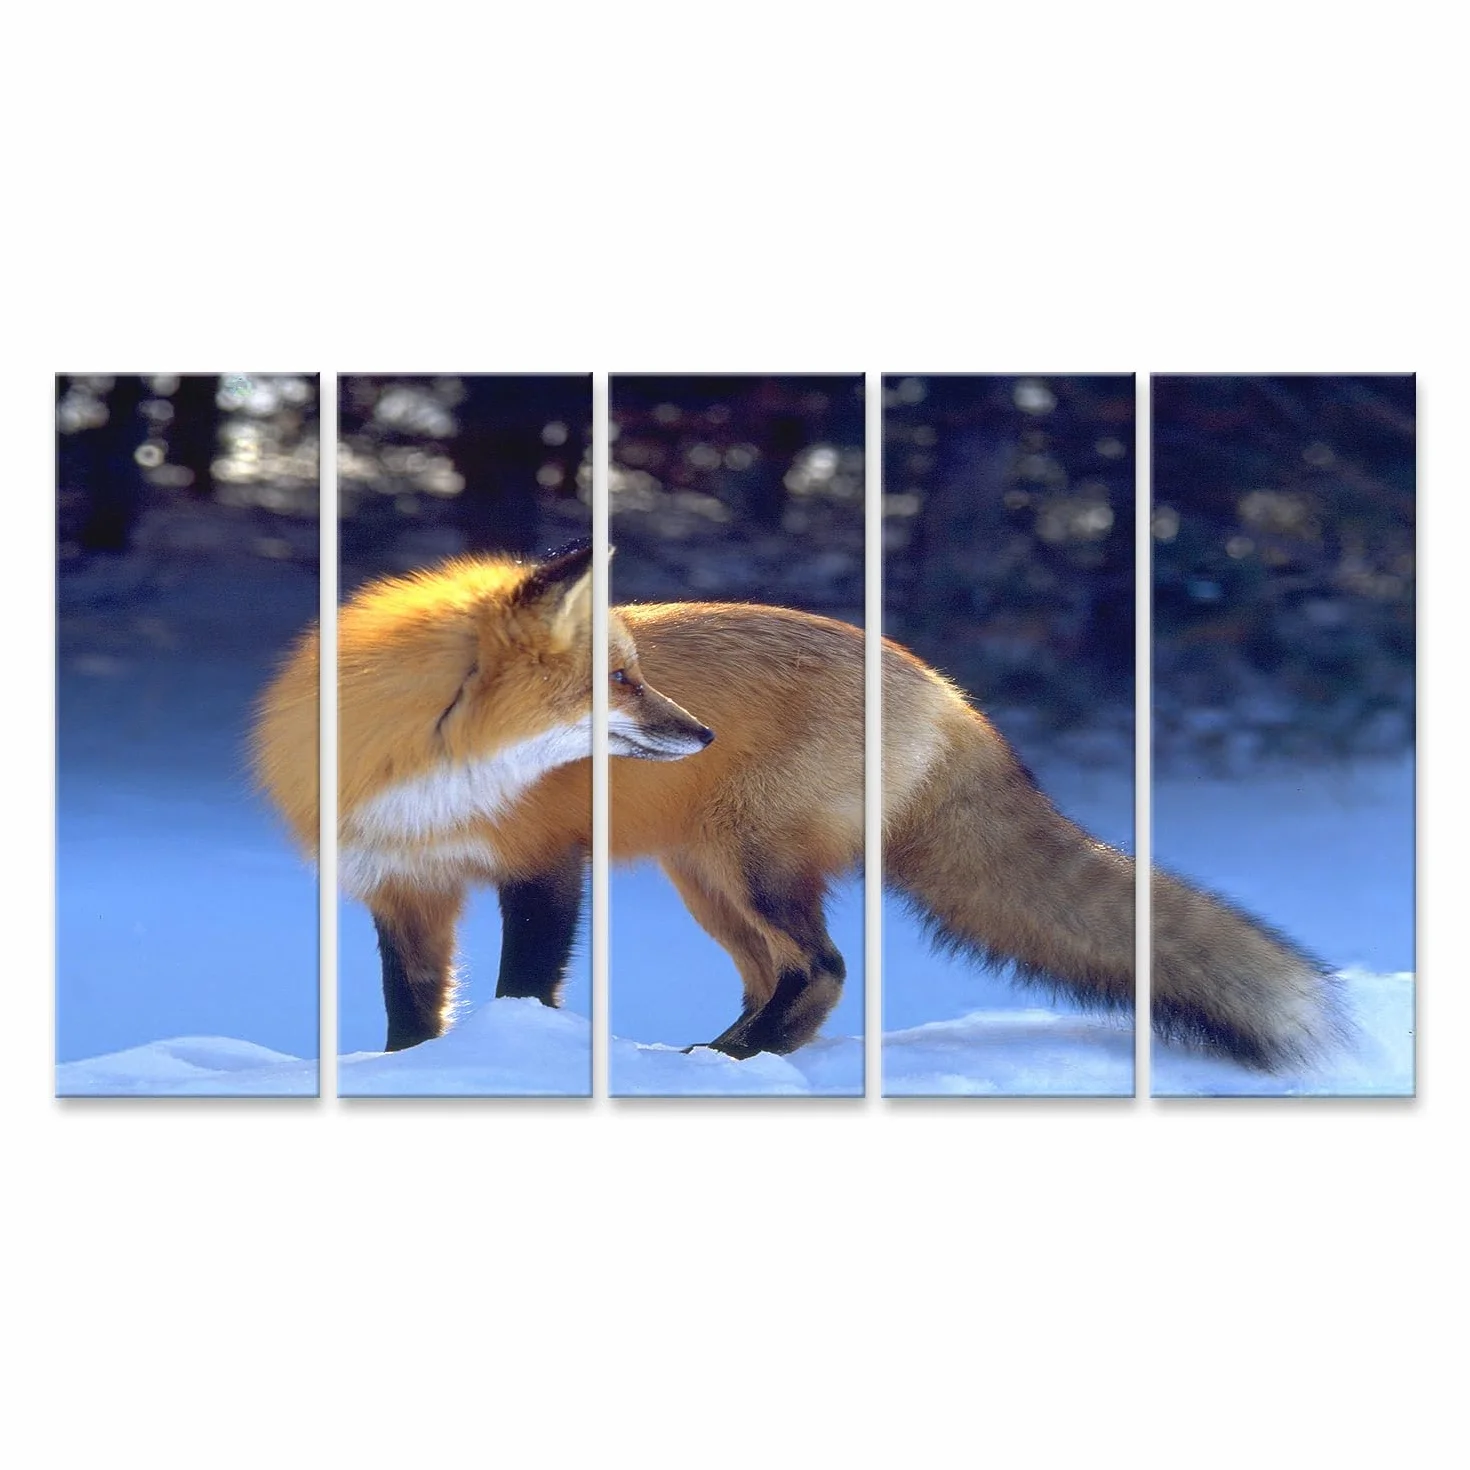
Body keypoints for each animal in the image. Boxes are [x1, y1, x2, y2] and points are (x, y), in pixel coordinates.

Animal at [253, 540, 1341, 1068]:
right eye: (618, 682)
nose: (701, 734)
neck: (433, 777)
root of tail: (948, 691)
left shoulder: (546, 868)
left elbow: (522, 989)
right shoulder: (401, 886)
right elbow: (409, 1010)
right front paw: (407, 1071)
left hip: (752, 867)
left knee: (824, 968)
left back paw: (741, 1061)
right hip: (708, 880)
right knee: (778, 975)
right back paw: (723, 1054)